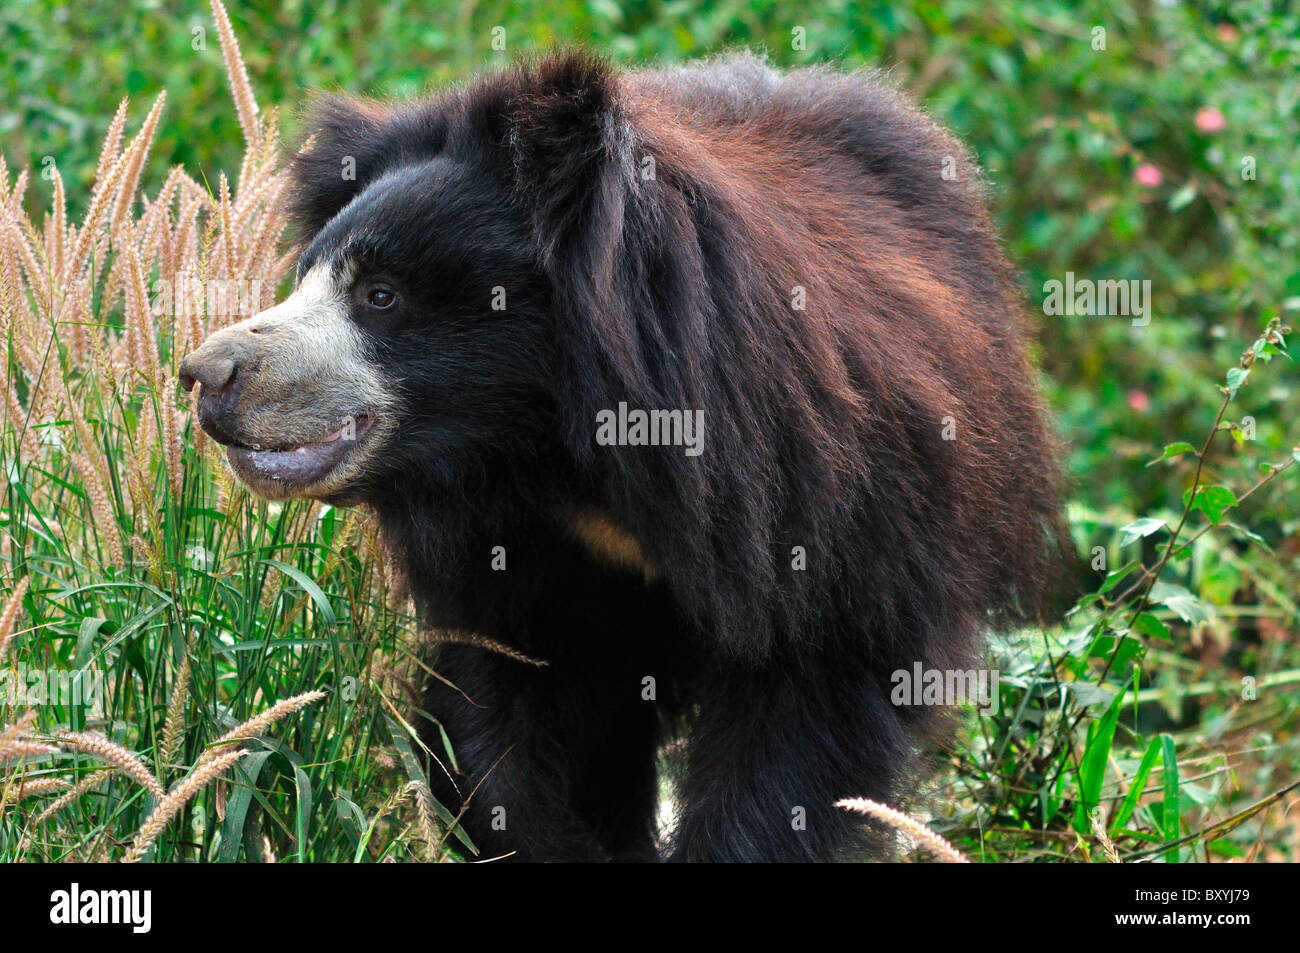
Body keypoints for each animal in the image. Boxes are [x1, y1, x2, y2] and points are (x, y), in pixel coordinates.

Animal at [179, 51, 1067, 862]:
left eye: (380, 294)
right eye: (305, 276)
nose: (207, 374)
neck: (556, 448)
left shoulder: (819, 507)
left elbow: (800, 721)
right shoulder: (519, 552)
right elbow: (505, 719)